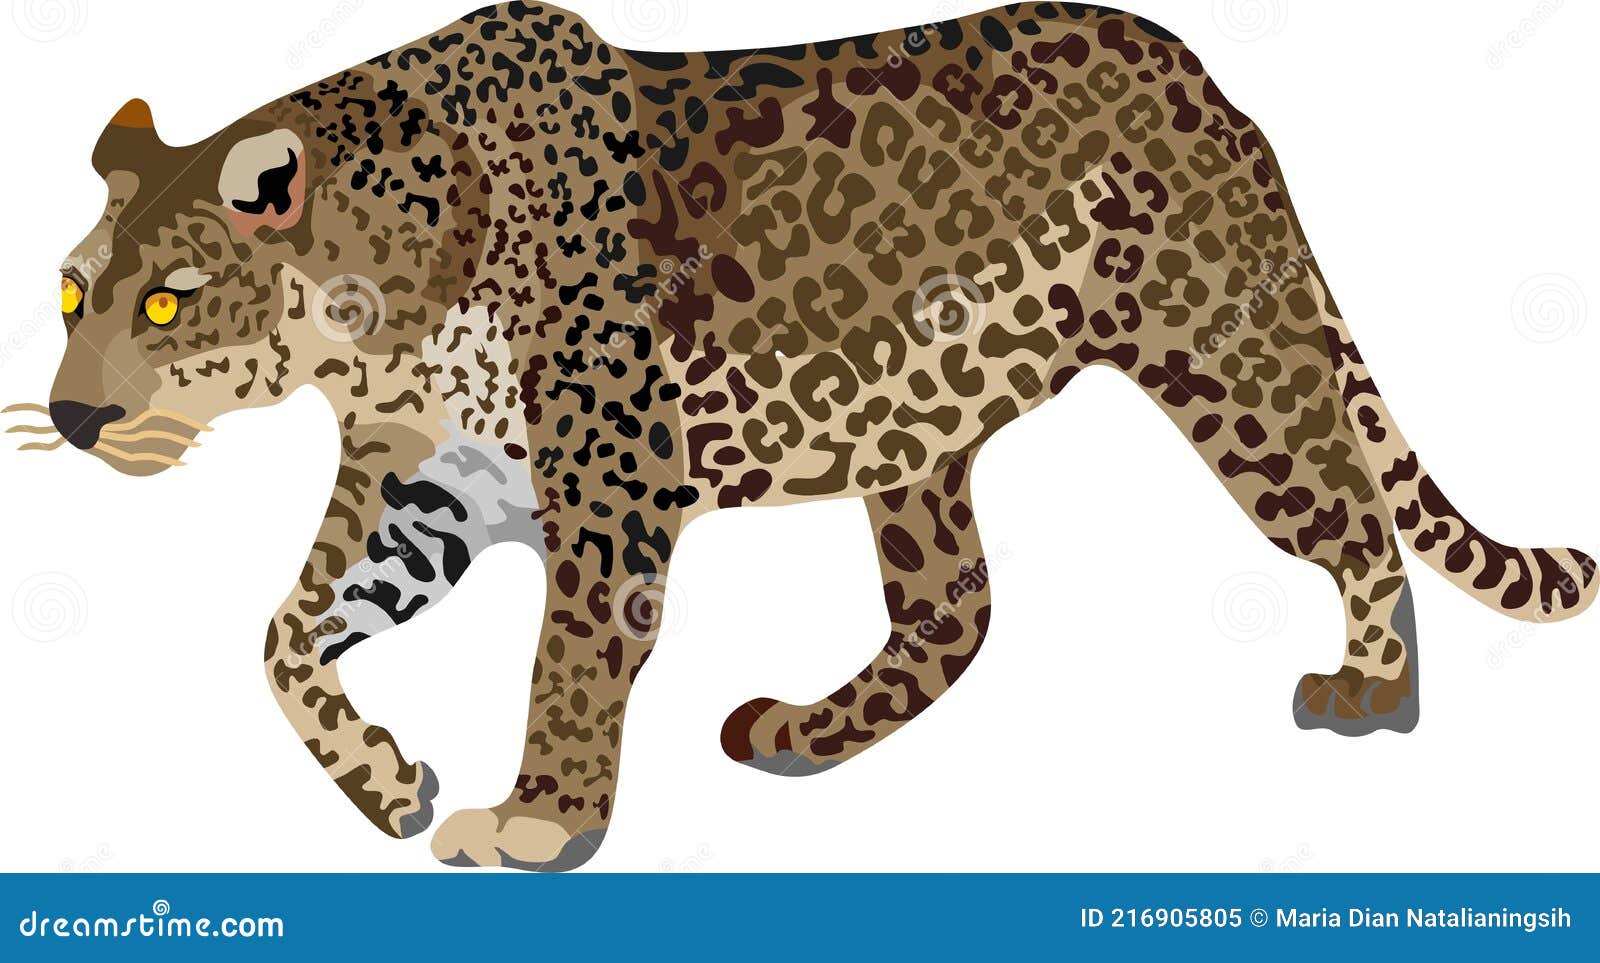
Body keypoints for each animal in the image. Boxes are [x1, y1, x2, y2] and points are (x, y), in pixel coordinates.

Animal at [14, 1, 1595, 872]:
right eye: (72, 289)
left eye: (165, 297)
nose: (76, 413)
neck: (382, 312)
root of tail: (1200, 75)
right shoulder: (429, 484)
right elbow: (284, 637)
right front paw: (388, 783)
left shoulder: (605, 496)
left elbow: (565, 662)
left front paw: (539, 821)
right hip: (919, 428)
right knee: (957, 608)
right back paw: (801, 735)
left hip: (1223, 356)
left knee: (1349, 510)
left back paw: (1370, 687)